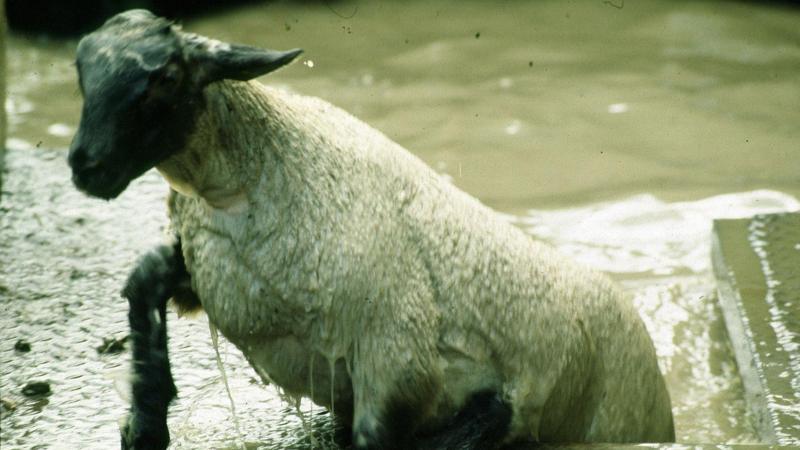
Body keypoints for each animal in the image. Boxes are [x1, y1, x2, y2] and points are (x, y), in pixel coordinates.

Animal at [68, 9, 675, 449]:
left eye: (165, 79)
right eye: (82, 73)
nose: (84, 166)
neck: (248, 178)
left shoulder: (396, 354)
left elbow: (374, 432)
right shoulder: (215, 277)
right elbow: (144, 282)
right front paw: (145, 424)